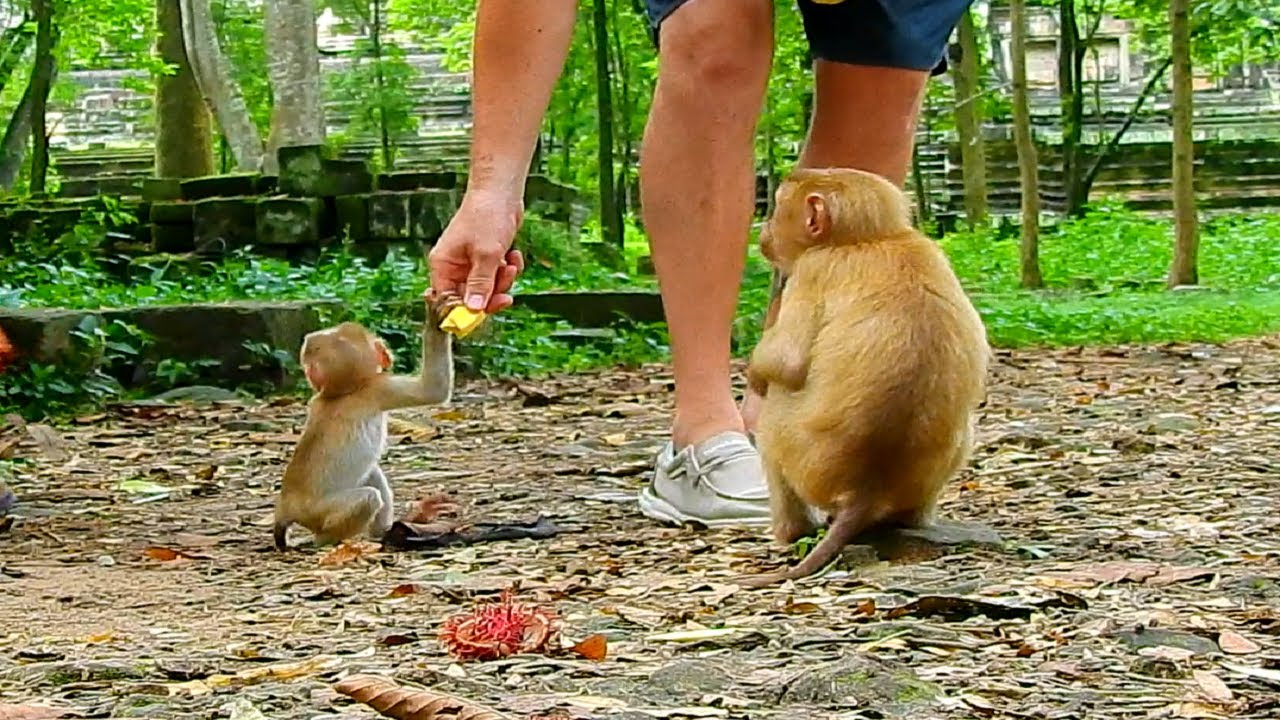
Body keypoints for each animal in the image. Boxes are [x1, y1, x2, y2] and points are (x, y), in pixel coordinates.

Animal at [272, 296, 456, 551]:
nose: (387, 351)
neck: (342, 391)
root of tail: (286, 508)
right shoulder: (379, 388)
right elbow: (433, 388)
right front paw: (436, 321)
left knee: (373, 473)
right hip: (317, 512)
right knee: (368, 498)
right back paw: (328, 541)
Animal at [738, 167, 990, 587]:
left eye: (777, 207)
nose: (765, 230)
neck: (872, 238)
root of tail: (866, 490)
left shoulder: (813, 270)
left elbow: (787, 363)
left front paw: (755, 377)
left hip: (805, 458)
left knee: (773, 419)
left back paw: (791, 531)